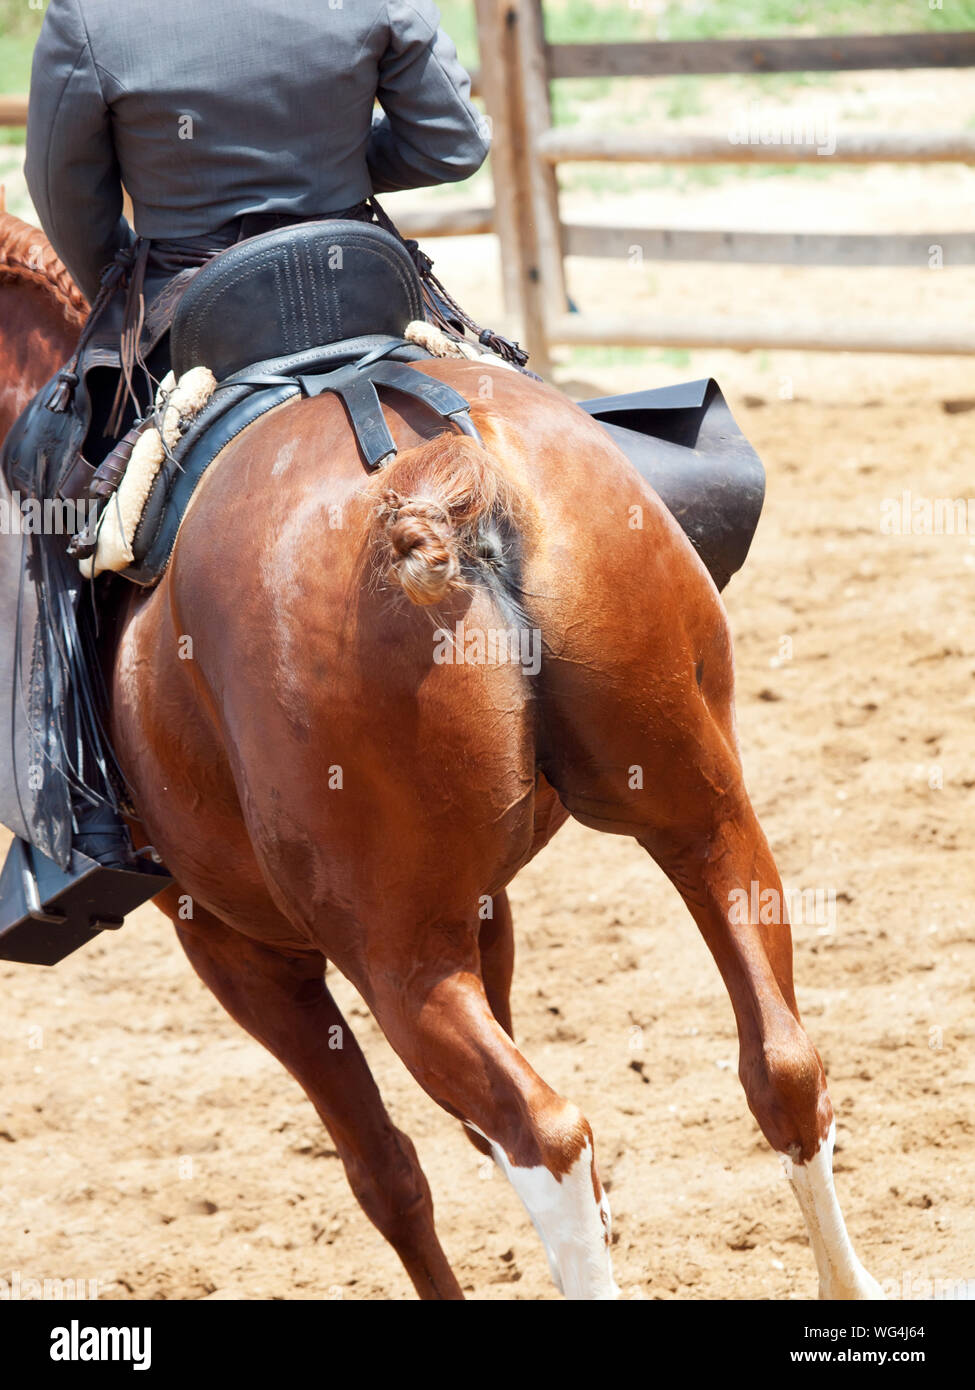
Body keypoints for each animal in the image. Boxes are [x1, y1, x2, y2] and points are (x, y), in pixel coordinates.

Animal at [0, 212, 882, 1300]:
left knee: (540, 1134)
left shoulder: (239, 949)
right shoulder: (482, 903)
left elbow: (386, 1173)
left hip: (397, 960)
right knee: (781, 1065)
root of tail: (431, 480)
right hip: (701, 819)